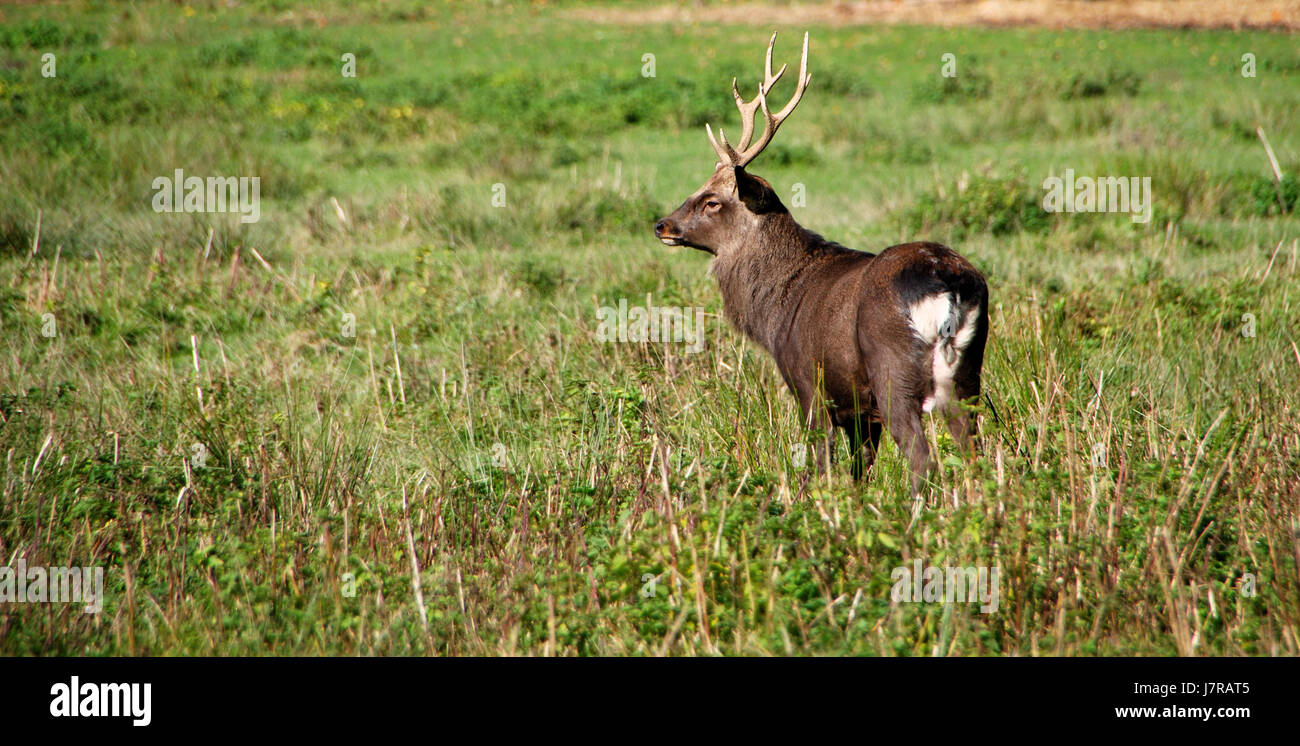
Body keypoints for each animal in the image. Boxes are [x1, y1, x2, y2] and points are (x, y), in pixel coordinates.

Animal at [653, 32, 989, 497]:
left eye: (711, 201)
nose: (662, 225)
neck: (777, 303)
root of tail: (949, 284)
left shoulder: (806, 380)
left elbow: (819, 460)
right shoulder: (860, 409)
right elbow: (860, 468)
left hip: (893, 369)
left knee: (921, 456)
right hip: (968, 374)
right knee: (975, 452)